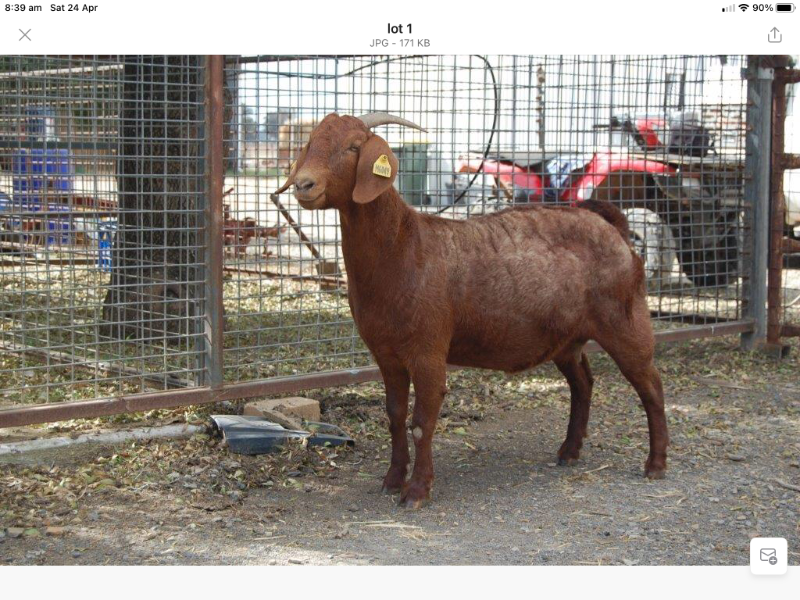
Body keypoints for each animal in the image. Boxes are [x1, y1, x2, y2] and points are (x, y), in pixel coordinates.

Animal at [275, 112, 668, 508]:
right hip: (566, 339)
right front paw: (392, 480)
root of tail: (613, 227)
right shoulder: (386, 354)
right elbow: (395, 416)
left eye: (354, 146)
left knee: (650, 385)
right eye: (310, 143)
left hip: (625, 320)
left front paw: (417, 492)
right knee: (583, 383)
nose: (304, 184)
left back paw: (656, 464)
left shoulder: (429, 350)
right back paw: (569, 451)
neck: (404, 247)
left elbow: (422, 422)